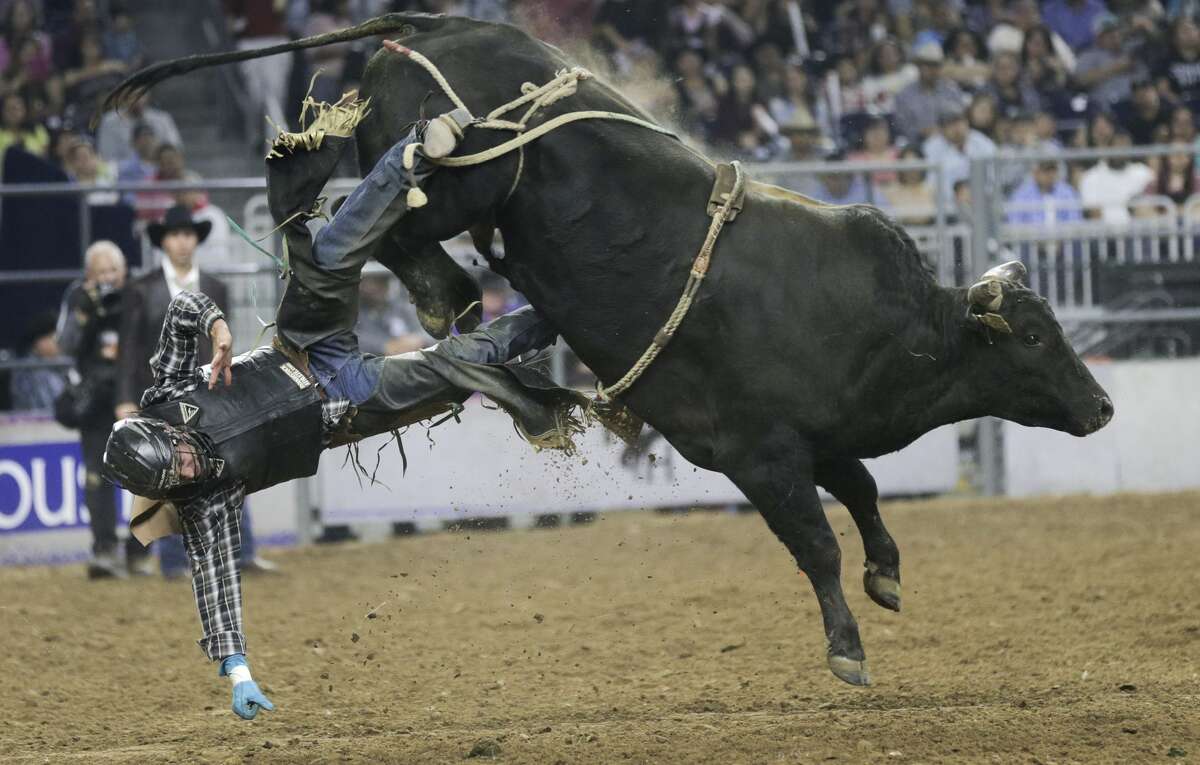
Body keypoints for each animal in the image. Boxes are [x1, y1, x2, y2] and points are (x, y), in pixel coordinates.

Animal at [102, 12, 1113, 686]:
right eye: (1033, 334)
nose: (1103, 406)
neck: (890, 324)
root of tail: (440, 21)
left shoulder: (819, 438)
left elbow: (862, 493)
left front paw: (889, 576)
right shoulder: (761, 453)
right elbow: (816, 541)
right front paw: (848, 649)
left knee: (331, 200)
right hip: (464, 192)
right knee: (369, 216)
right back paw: (439, 275)